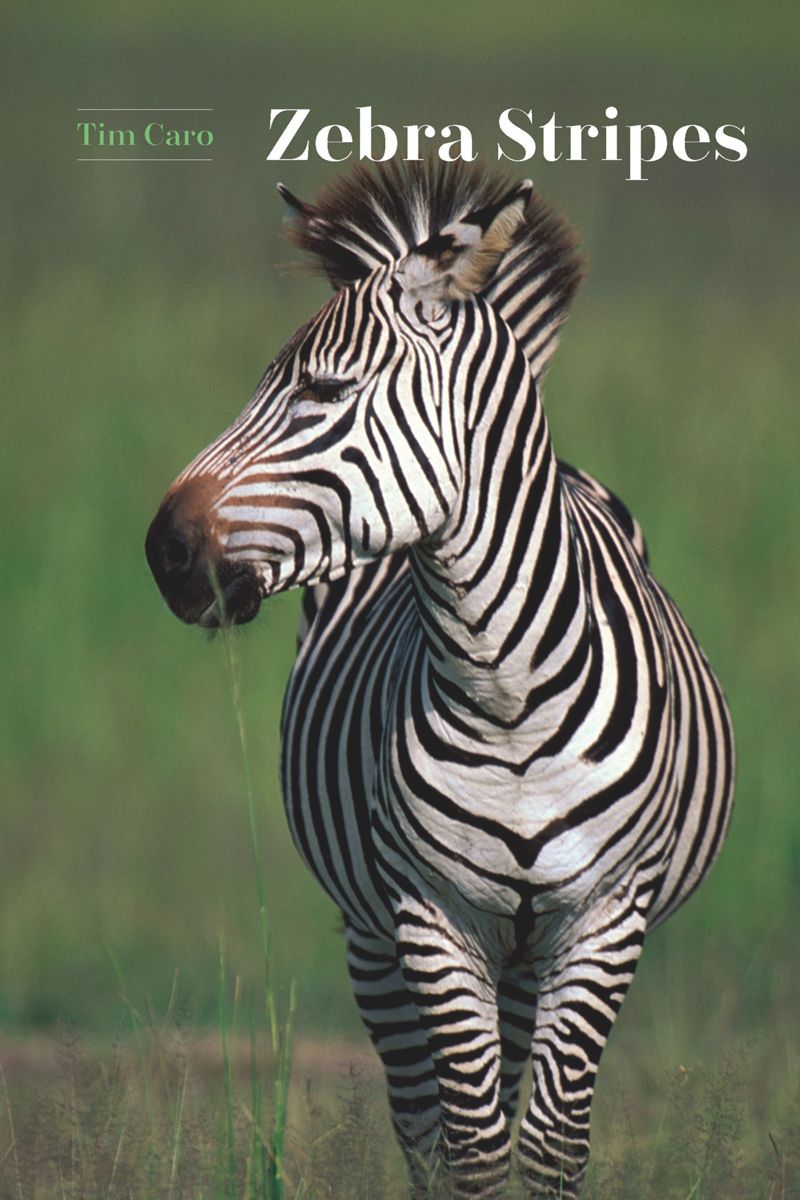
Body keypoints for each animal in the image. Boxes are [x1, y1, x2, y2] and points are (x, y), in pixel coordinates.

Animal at [145, 162, 734, 1199]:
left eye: (322, 390)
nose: (161, 552)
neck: (506, 693)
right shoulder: (430, 916)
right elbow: (470, 1147)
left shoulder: (603, 916)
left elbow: (547, 1146)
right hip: (375, 936)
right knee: (421, 1124)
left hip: (527, 951)